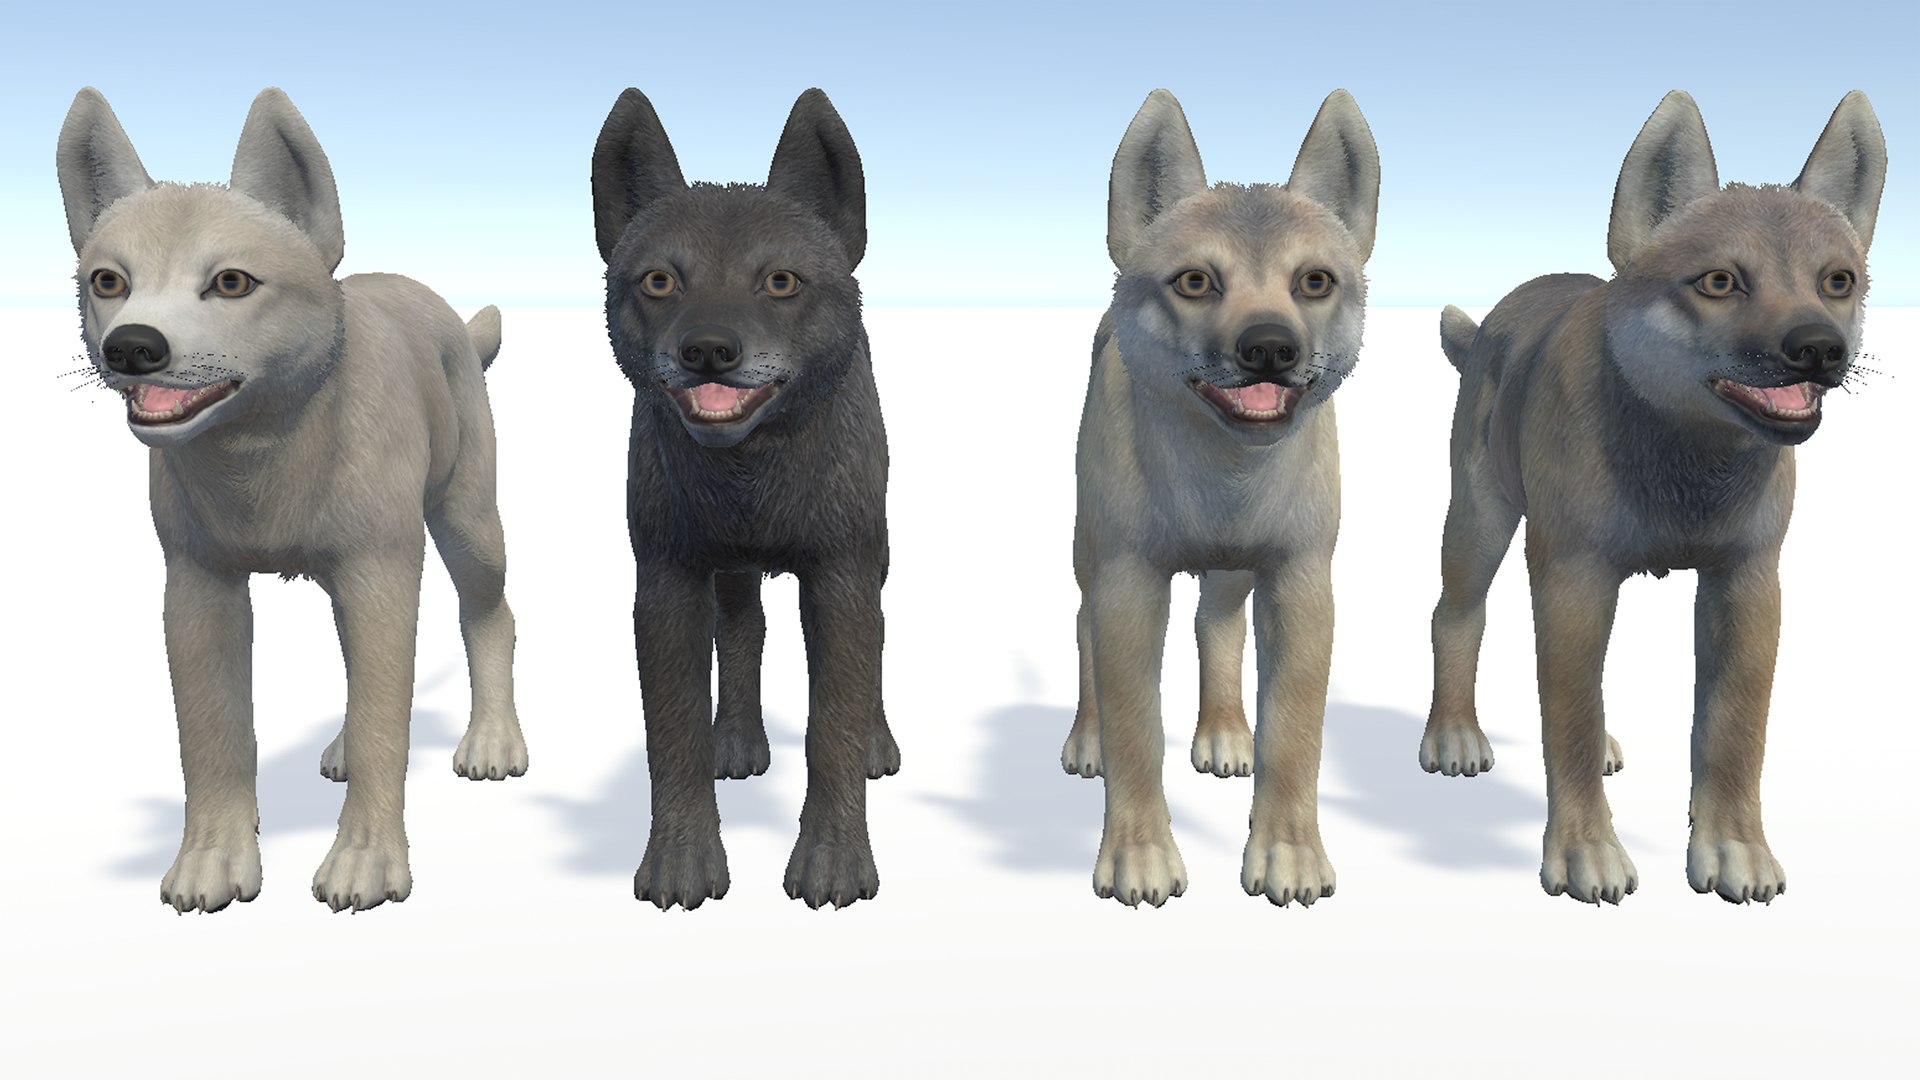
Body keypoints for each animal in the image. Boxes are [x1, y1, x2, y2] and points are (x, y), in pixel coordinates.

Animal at [57, 88, 528, 913]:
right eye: (108, 282)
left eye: (231, 283)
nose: (133, 347)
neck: (262, 454)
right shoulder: (198, 586)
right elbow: (211, 735)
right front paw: (213, 856)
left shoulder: (381, 572)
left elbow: (384, 722)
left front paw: (366, 860)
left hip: (467, 526)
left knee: (489, 616)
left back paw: (493, 740)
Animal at [592, 87, 896, 910]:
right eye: (660, 281)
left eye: (781, 282)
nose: (708, 351)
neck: (751, 482)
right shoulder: (665, 582)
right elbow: (672, 733)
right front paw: (680, 860)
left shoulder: (840, 576)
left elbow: (833, 722)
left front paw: (834, 861)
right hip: (727, 574)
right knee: (744, 628)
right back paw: (736, 738)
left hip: (876, 557)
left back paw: (878, 742)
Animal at [1061, 89, 1380, 907]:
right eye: (1196, 282)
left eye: (1315, 282)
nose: (1269, 347)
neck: (1226, 479)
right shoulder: (1129, 583)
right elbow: (1136, 727)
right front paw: (1139, 855)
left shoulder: (1300, 580)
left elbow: (1295, 733)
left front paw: (1289, 852)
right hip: (1089, 558)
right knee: (1083, 632)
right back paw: (1086, 738)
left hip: (1236, 574)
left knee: (1219, 624)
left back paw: (1227, 731)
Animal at [1418, 90, 1885, 905]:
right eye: (1720, 282)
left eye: (1838, 281)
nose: (1819, 348)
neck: (1688, 458)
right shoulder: (1572, 575)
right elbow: (1567, 719)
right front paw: (1585, 849)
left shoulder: (1746, 583)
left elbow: (1734, 731)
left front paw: (1734, 845)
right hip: (1481, 525)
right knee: (1457, 617)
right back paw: (1452, 733)